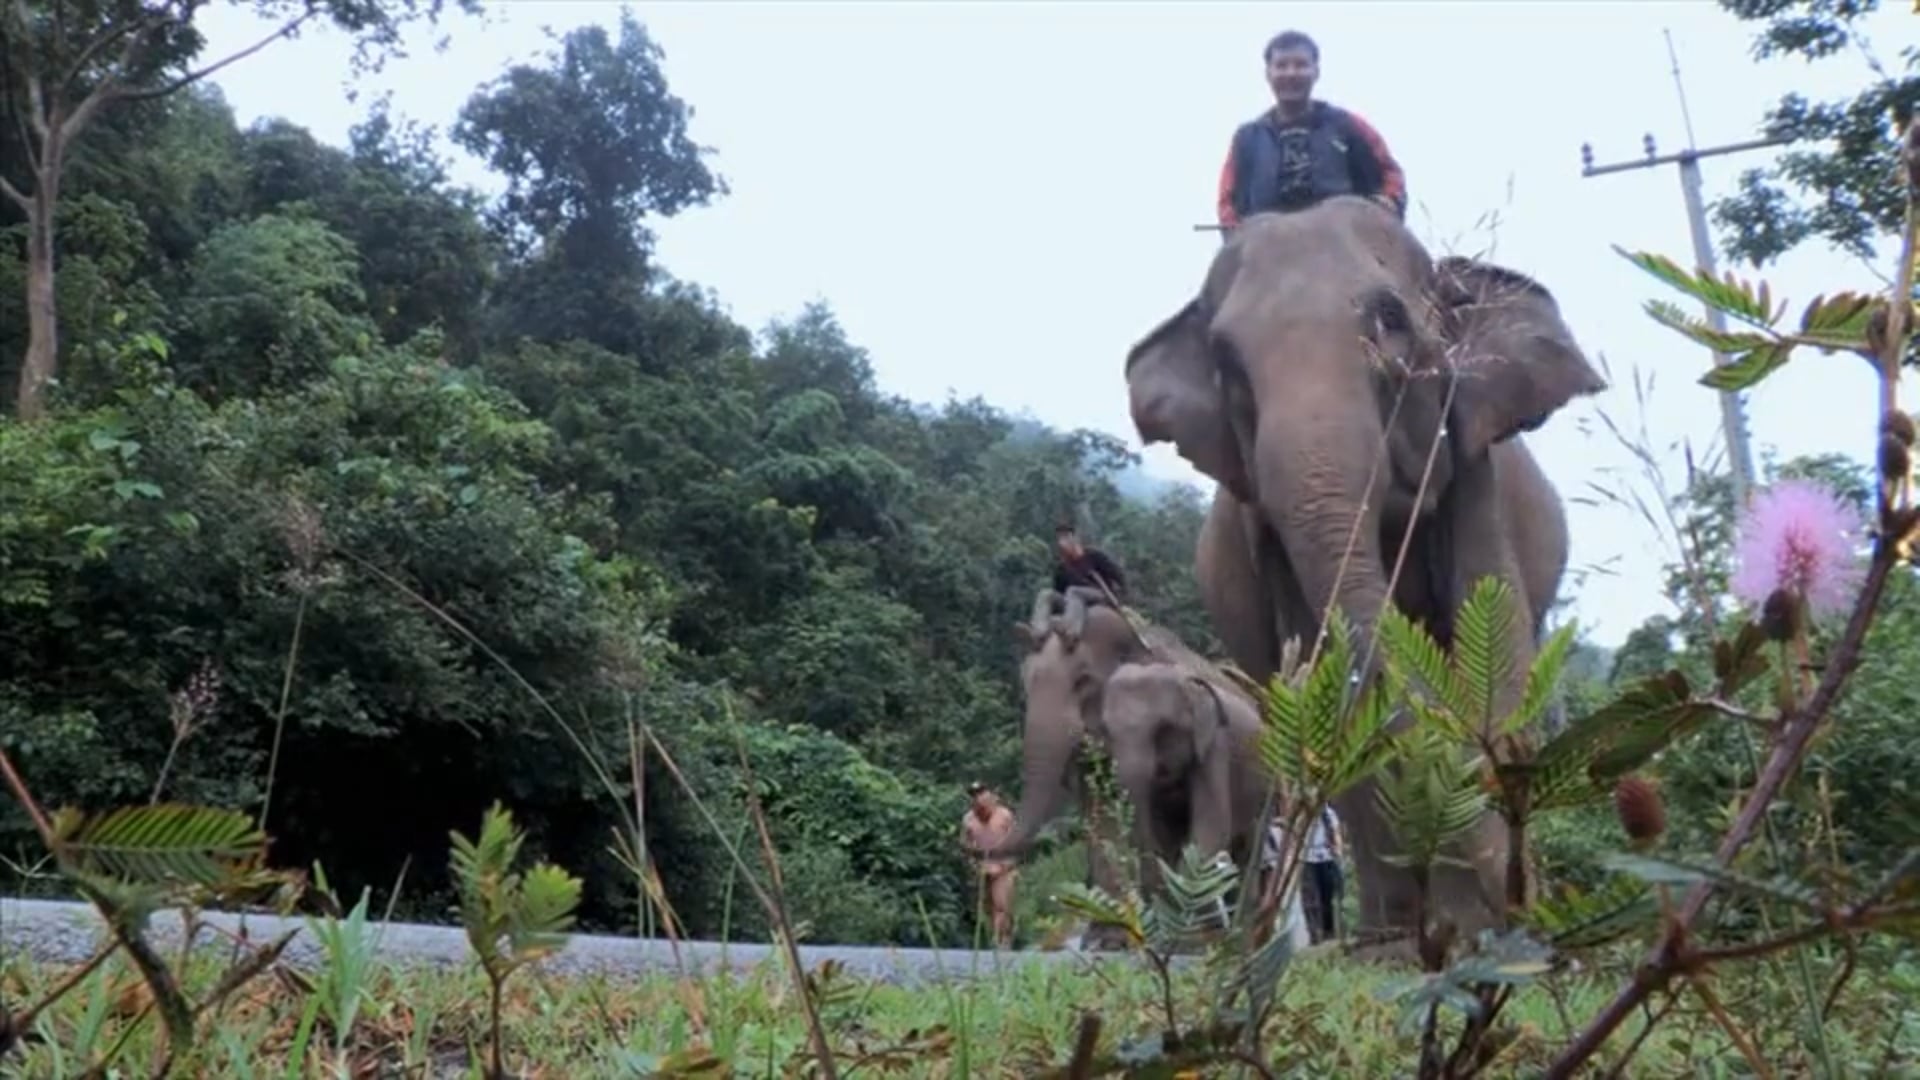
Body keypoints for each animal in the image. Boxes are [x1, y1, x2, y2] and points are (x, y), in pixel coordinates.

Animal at [1122, 194, 1606, 945]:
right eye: (1227, 365)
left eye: (1390, 319)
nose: (1516, 903)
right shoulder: (1265, 532)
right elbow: (1327, 678)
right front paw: (1435, 930)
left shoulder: (1473, 462)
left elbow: (1492, 638)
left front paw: (1491, 917)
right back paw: (1386, 933)